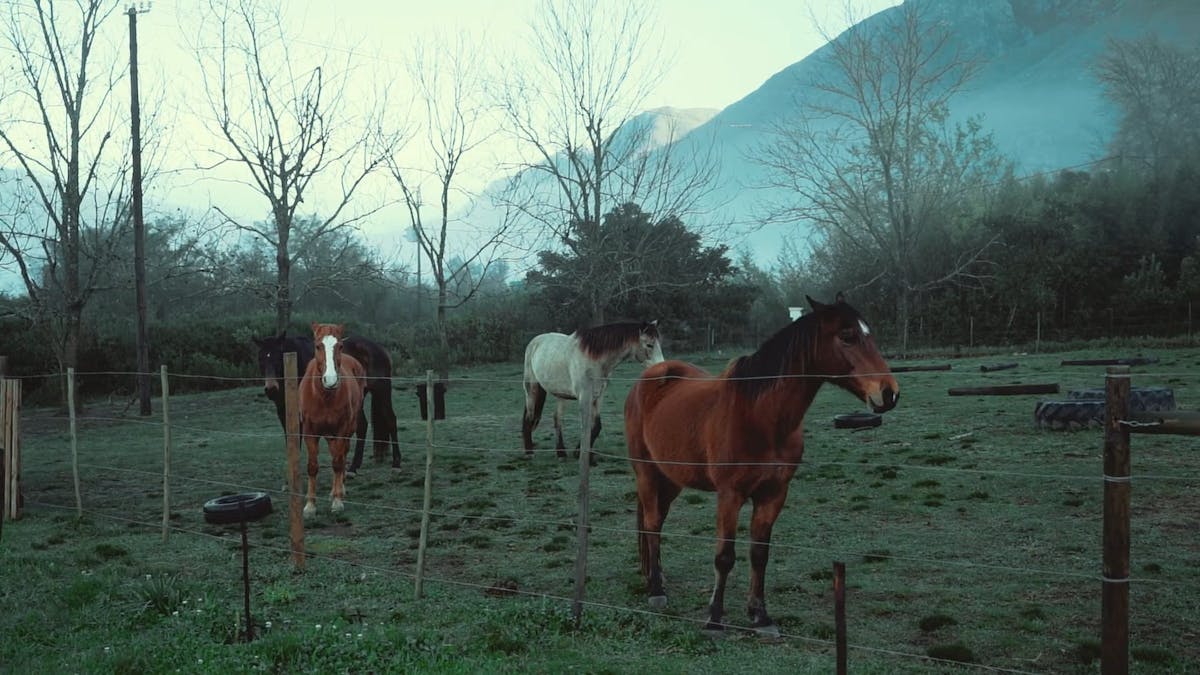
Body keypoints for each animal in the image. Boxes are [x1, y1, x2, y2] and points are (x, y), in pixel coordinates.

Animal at [253, 332, 401, 474]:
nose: (271, 389)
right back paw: (353, 468)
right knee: (362, 426)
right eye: (260, 359)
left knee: (391, 420)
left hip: (382, 391)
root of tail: (379, 348)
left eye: (278, 358)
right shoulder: (284, 411)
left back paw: (396, 464)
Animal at [298, 323, 366, 516]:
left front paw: (337, 501)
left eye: (340, 346)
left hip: (349, 428)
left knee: (342, 456)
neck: (324, 396)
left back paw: (339, 489)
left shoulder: (342, 429)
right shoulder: (309, 432)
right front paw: (310, 506)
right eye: (317, 346)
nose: (330, 380)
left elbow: (337, 462)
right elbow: (312, 466)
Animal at [522, 321, 664, 458]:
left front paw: (584, 455)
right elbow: (586, 427)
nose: (662, 371)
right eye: (649, 345)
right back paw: (529, 452)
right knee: (529, 416)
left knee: (557, 419)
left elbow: (596, 427)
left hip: (561, 394)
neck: (594, 360)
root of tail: (535, 341)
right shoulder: (584, 396)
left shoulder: (598, 396)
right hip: (531, 389)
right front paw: (582, 454)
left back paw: (561, 452)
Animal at [623, 295, 899, 635]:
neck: (761, 416)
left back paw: (656, 577)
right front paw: (715, 618)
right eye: (847, 336)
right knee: (651, 525)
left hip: (672, 478)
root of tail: (650, 378)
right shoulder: (730, 495)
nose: (888, 392)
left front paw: (760, 616)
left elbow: (759, 553)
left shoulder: (773, 494)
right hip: (646, 472)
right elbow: (725, 556)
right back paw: (656, 591)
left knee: (658, 522)